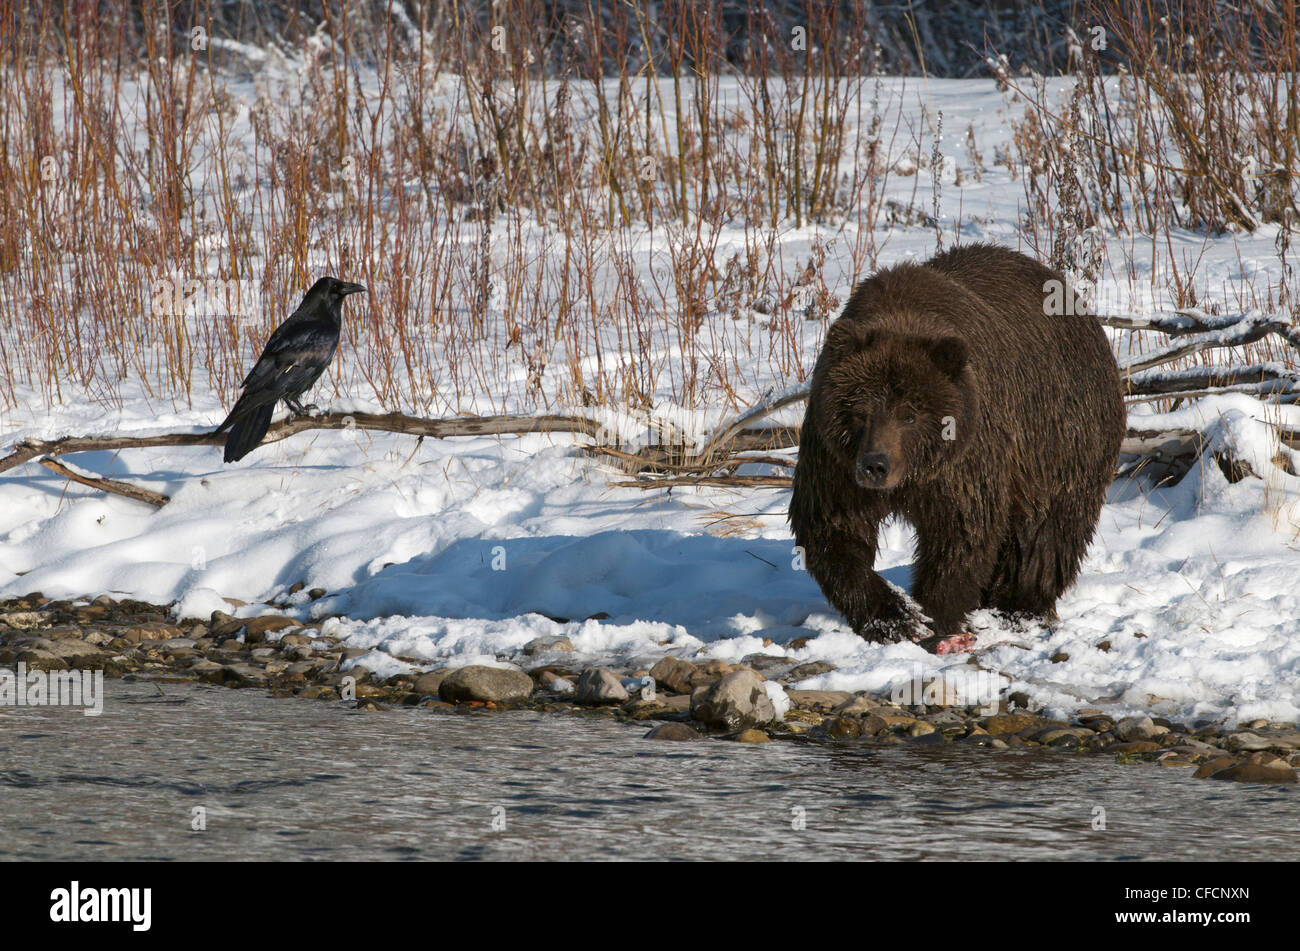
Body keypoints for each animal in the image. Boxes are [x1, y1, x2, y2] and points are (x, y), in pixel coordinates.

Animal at [789, 243, 1125, 652]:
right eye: (858, 411)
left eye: (910, 414)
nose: (875, 465)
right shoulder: (834, 460)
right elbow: (832, 529)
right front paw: (899, 619)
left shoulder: (965, 459)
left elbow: (962, 533)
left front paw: (937, 616)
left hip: (1061, 437)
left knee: (1047, 531)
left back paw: (1018, 606)